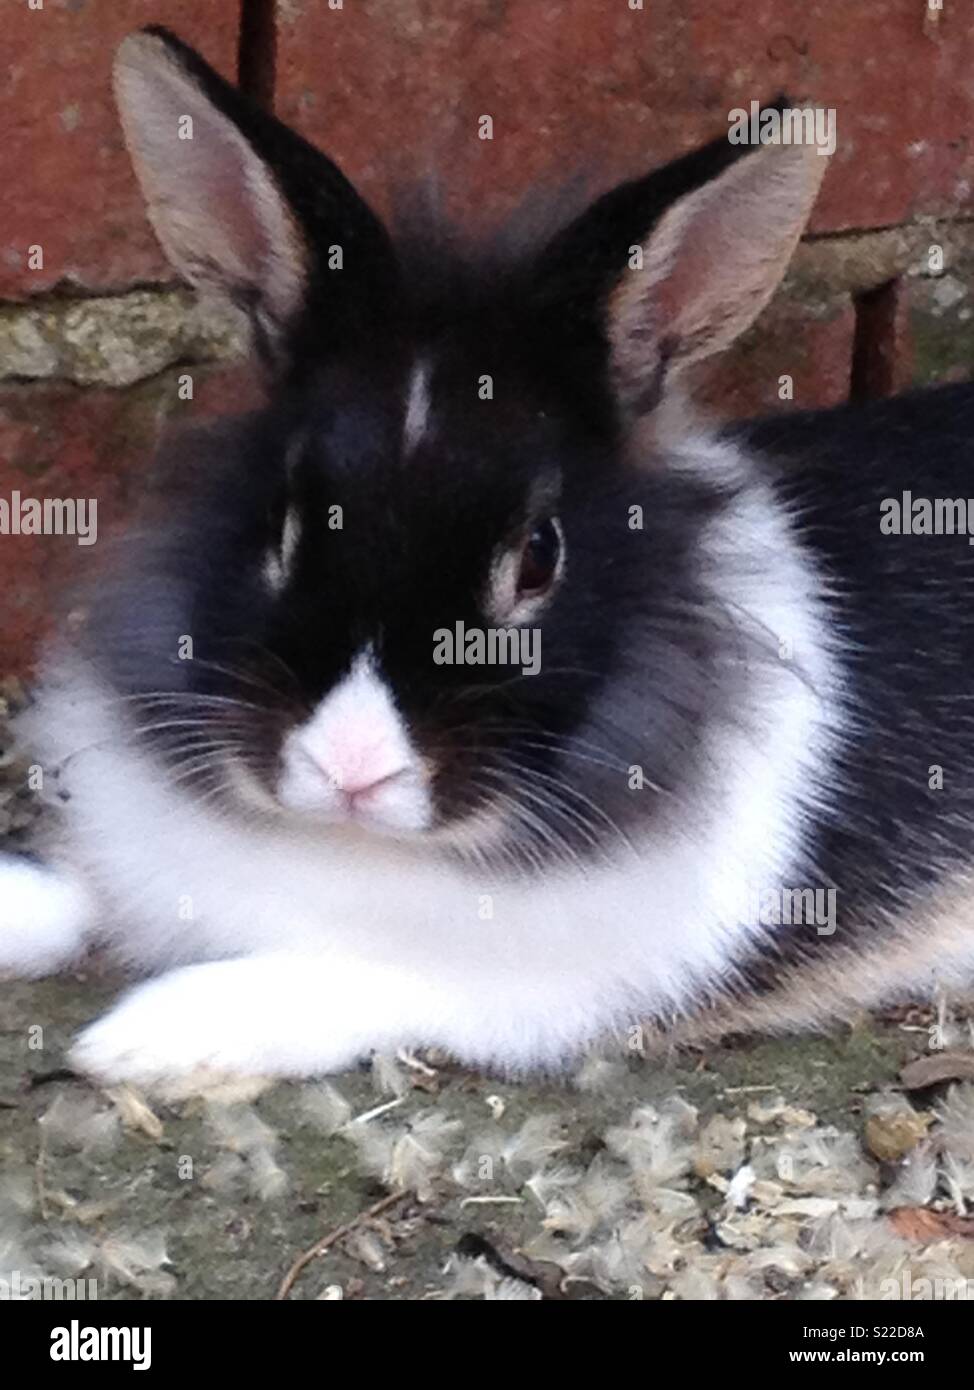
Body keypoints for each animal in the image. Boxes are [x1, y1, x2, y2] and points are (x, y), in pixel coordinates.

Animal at [3, 25, 973, 1089]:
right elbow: (80, 897)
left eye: (539, 556)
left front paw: (153, 1034)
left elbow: (338, 978)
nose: (351, 769)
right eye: (283, 520)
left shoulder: (518, 989)